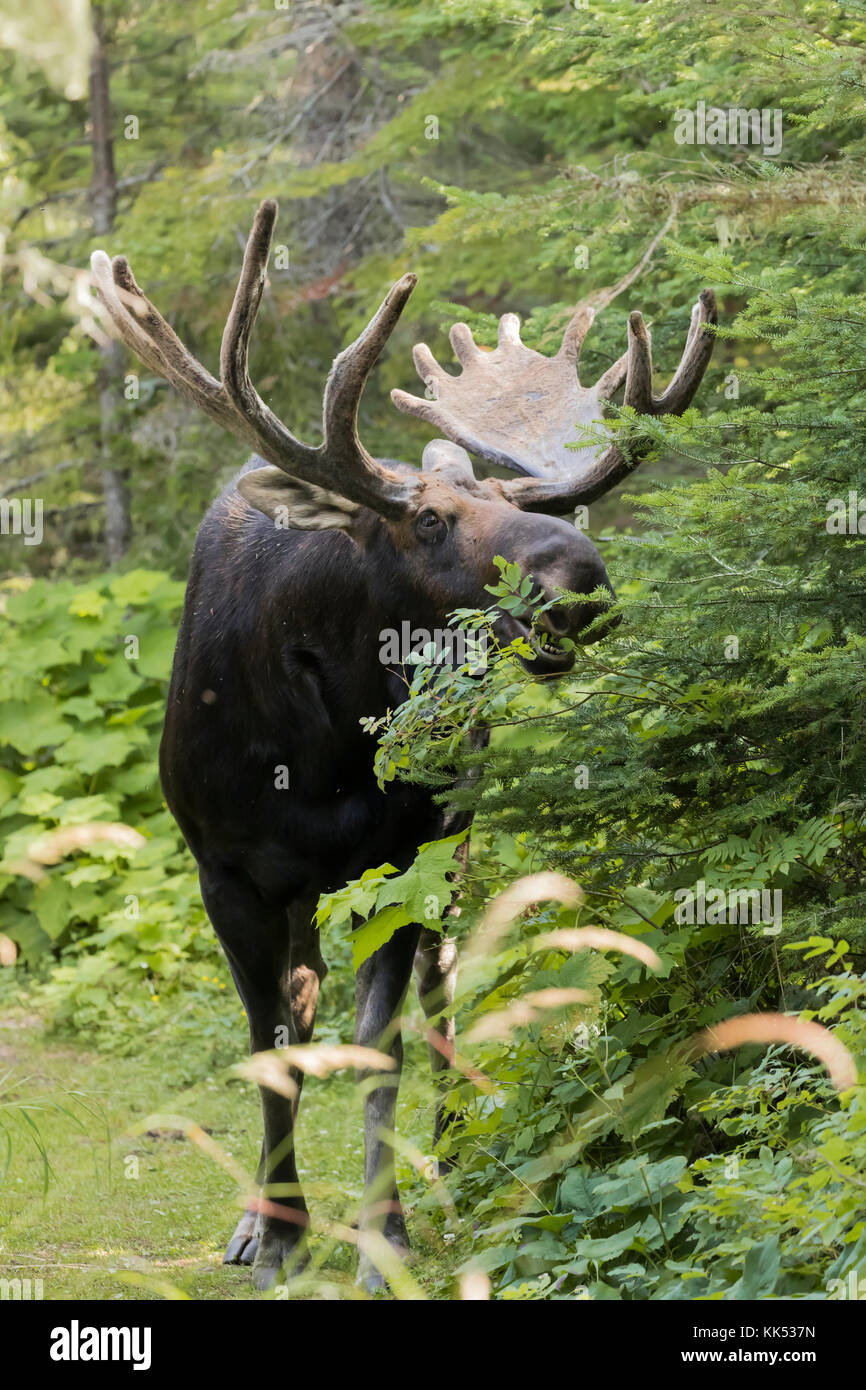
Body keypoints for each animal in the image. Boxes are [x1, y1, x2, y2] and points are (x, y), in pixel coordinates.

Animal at [91, 198, 716, 1291]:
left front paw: (382, 1236)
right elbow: (271, 1041)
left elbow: (376, 1049)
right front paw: (275, 1229)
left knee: (442, 994)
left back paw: (454, 1156)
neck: (320, 743)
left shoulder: (400, 859)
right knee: (304, 1004)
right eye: (426, 519)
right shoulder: (225, 868)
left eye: (519, 506)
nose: (581, 577)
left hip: (454, 837)